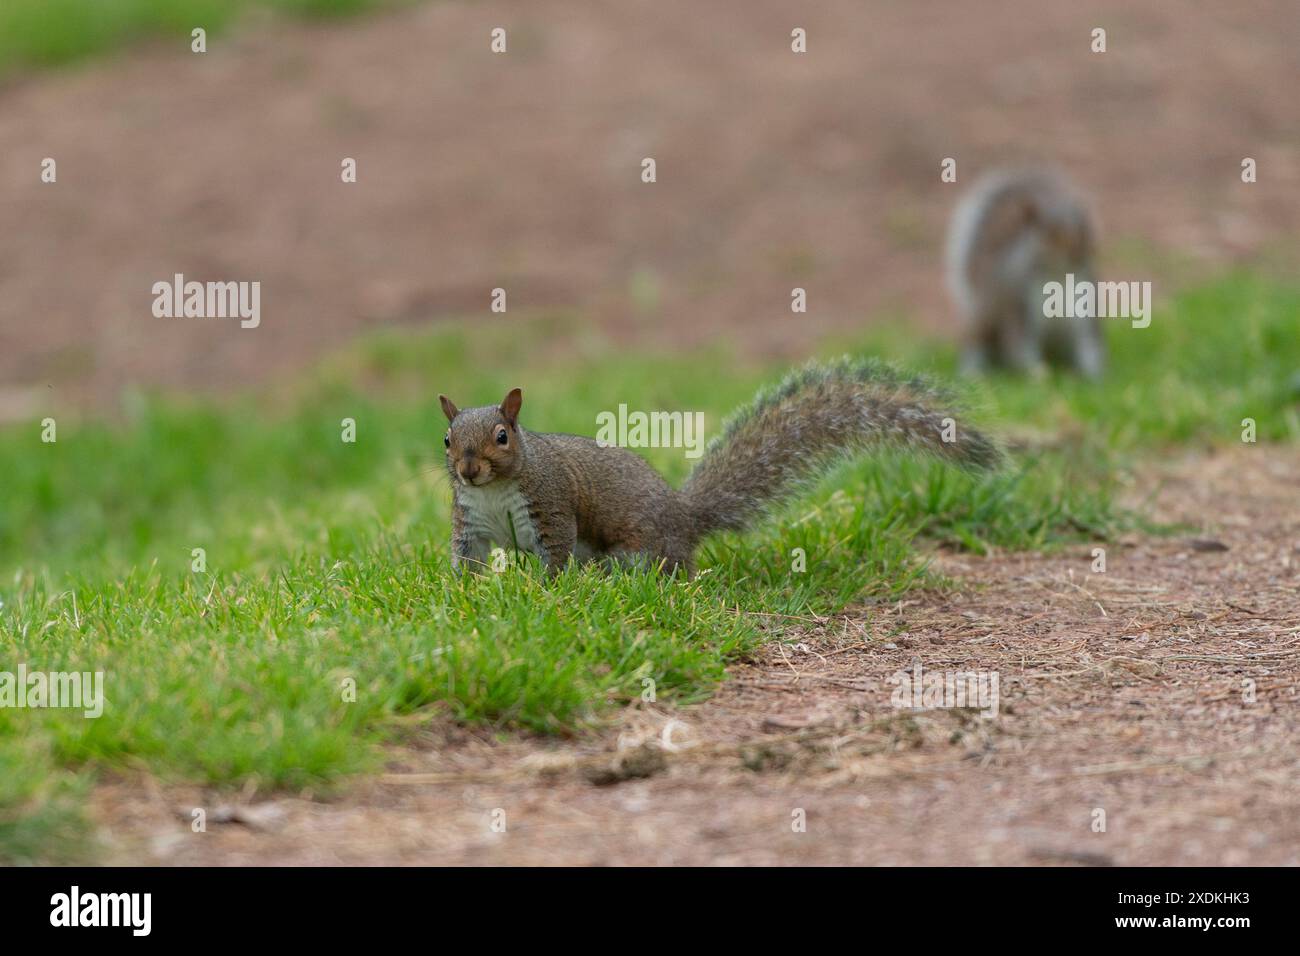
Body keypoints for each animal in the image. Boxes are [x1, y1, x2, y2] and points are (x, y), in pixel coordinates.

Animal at [438, 357, 1001, 576]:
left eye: (502, 436)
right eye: (446, 440)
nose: (468, 471)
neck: (495, 490)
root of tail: (685, 520)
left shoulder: (551, 506)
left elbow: (554, 556)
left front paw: (543, 591)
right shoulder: (471, 520)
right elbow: (468, 557)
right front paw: (464, 590)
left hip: (638, 551)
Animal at [946, 167, 1104, 378]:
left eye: (1086, 227)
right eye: (1050, 233)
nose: (1079, 253)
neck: (1059, 275)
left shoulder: (1084, 305)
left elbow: (1089, 344)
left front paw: (1095, 375)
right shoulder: (1019, 304)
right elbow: (1023, 345)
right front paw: (1036, 374)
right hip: (983, 317)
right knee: (976, 340)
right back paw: (972, 370)